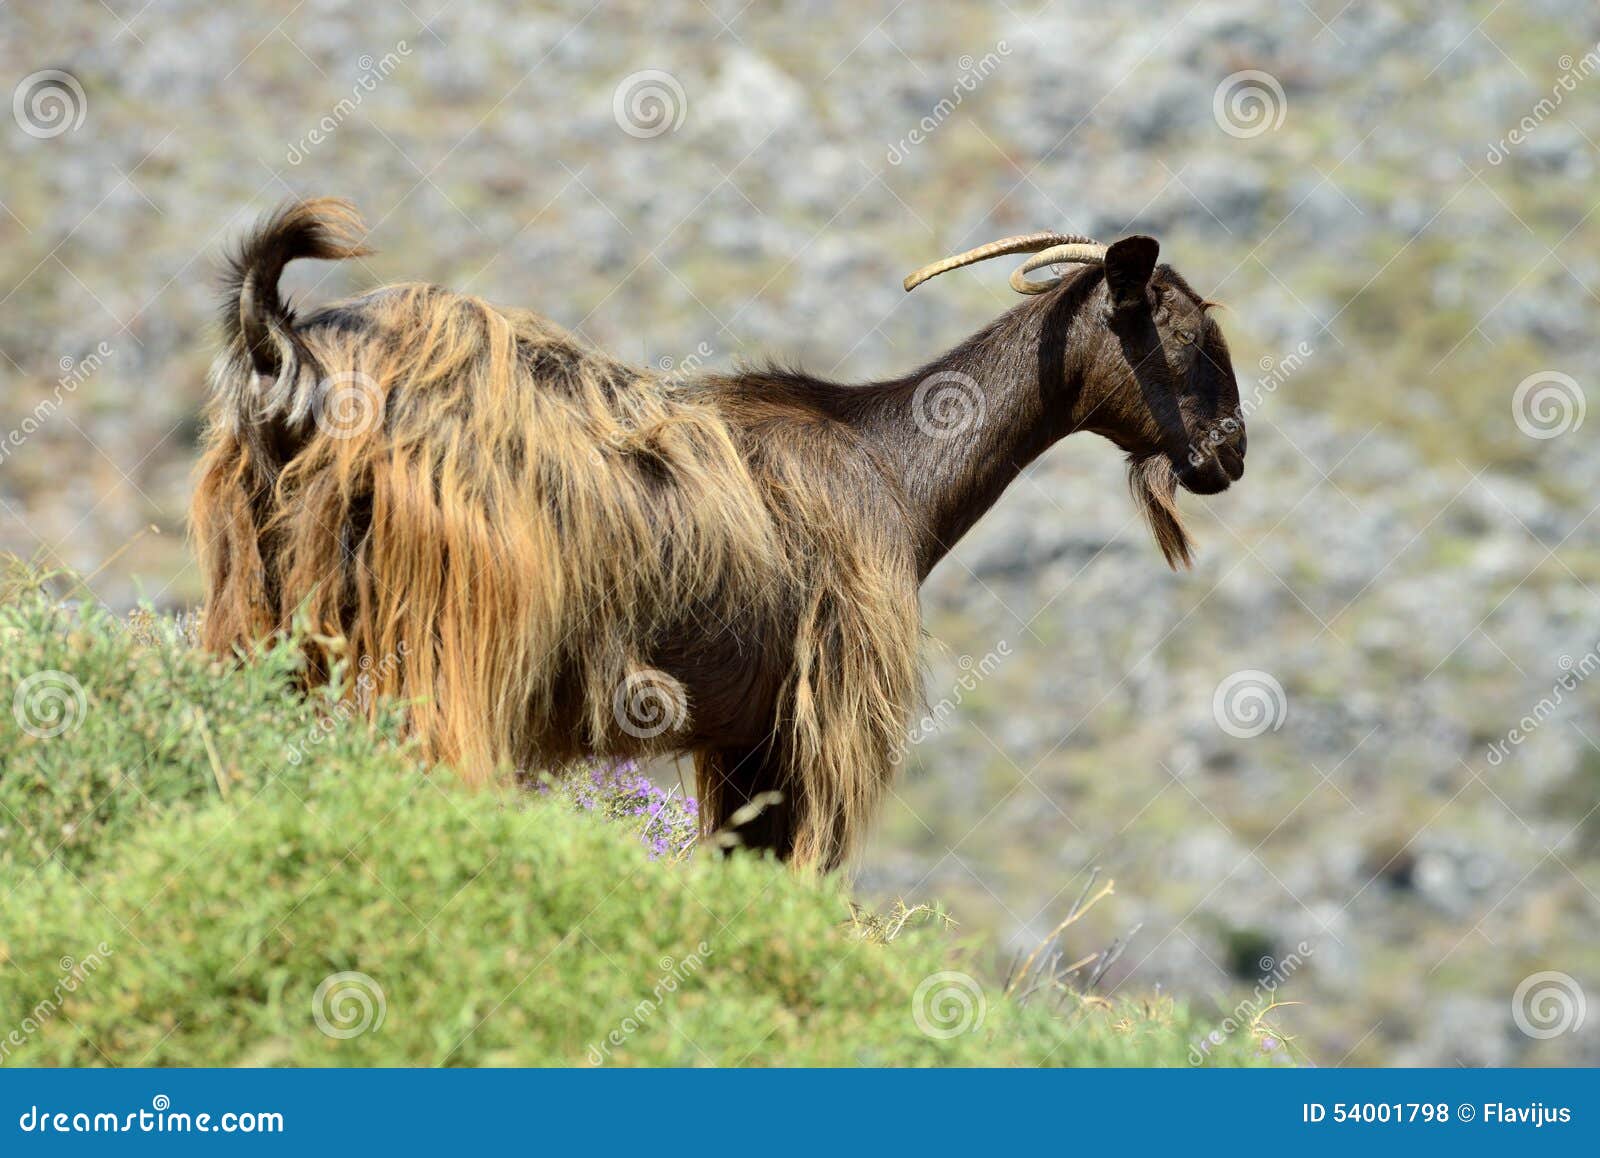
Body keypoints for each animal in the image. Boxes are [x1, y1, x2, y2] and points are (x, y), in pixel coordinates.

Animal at [192, 199, 1246, 870]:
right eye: (1184, 334)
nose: (1230, 451)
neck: (891, 463)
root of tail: (290, 348)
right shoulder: (825, 720)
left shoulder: (747, 735)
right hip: (448, 642)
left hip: (259, 600)